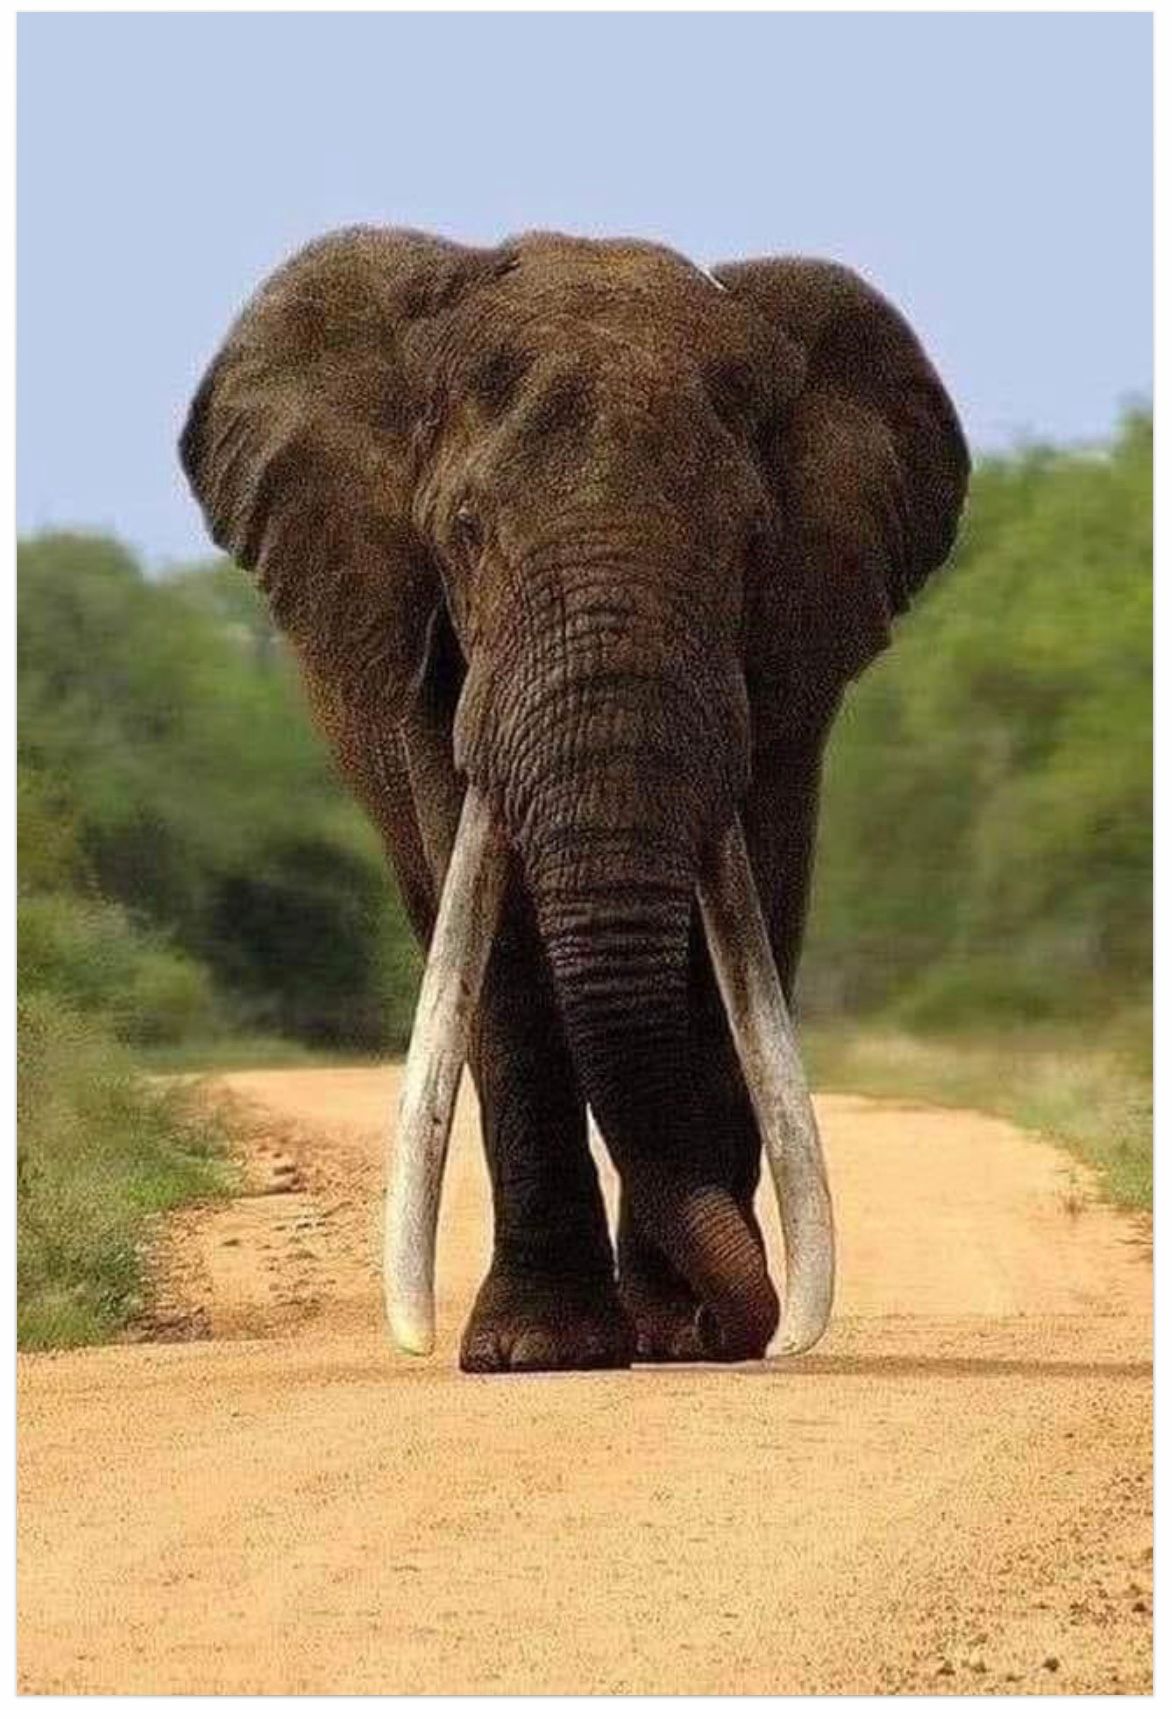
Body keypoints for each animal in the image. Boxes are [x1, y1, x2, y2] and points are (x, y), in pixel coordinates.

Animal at [180, 227, 968, 1373]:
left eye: (749, 542)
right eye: (465, 531)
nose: (747, 1328)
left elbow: (741, 933)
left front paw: (683, 1334)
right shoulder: (434, 655)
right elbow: (500, 948)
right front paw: (536, 1351)